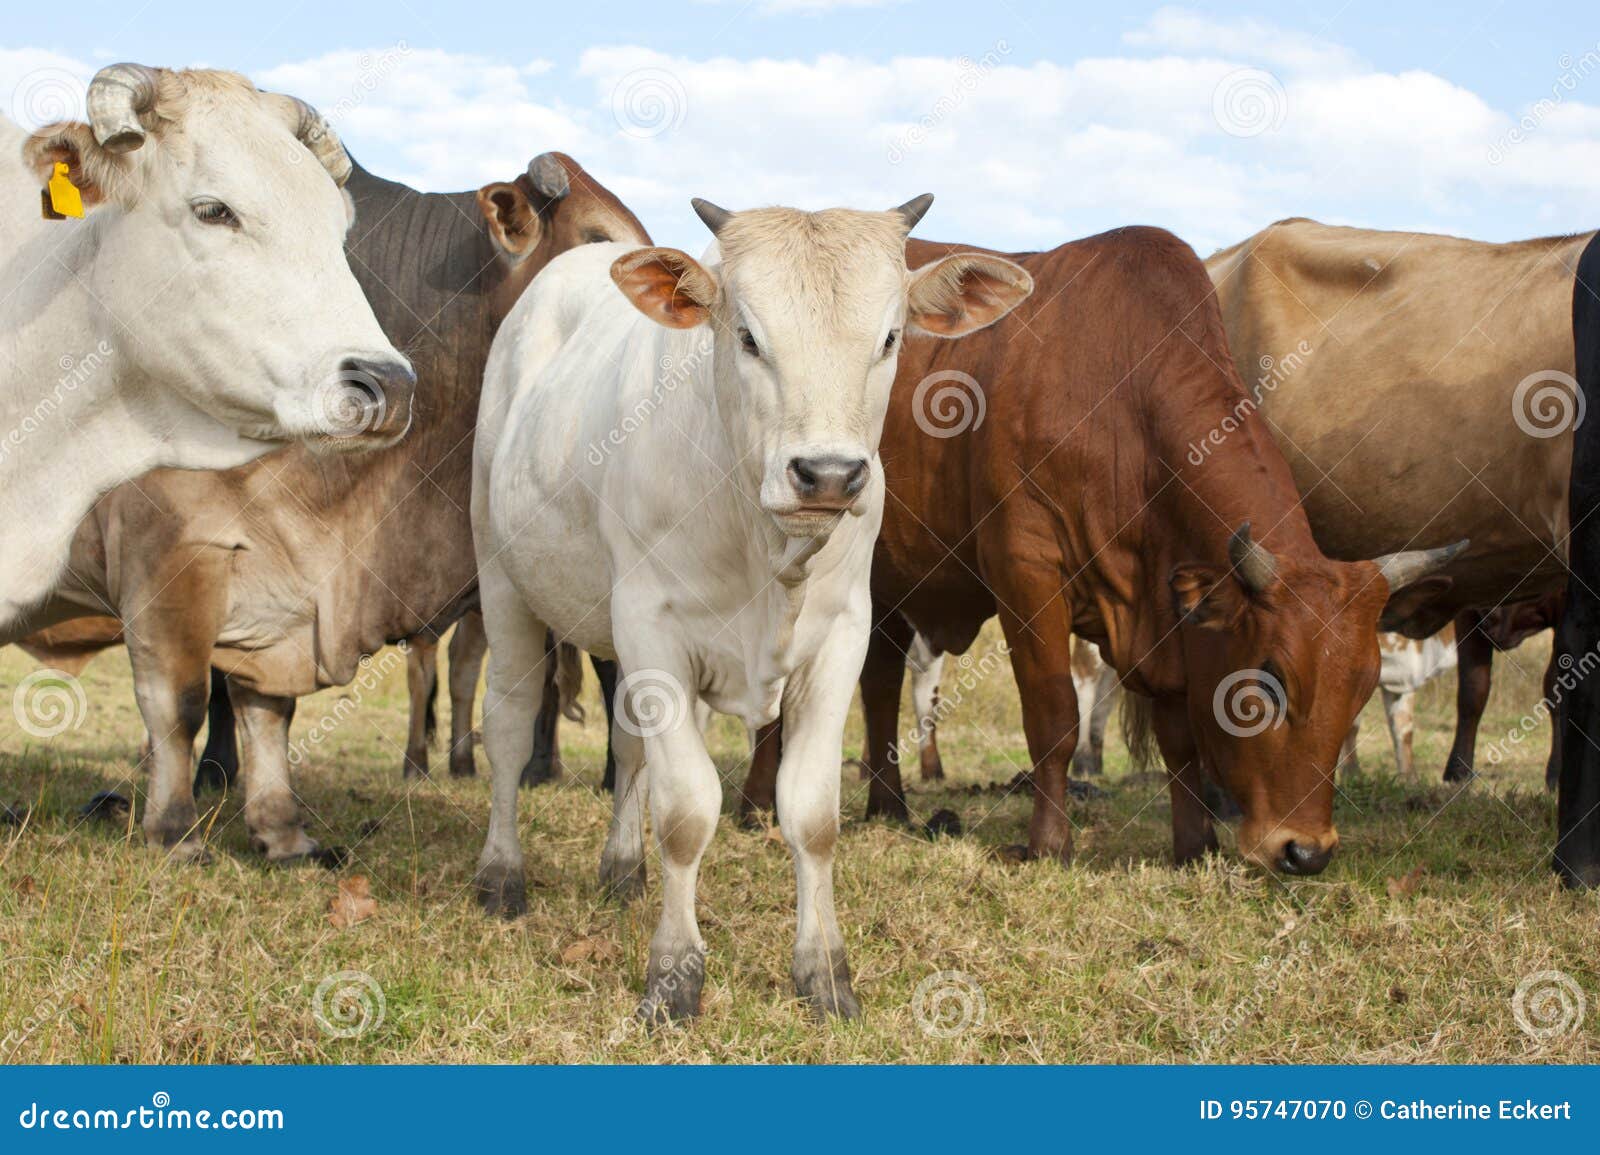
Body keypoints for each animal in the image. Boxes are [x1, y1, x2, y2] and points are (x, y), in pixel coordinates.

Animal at [2, 152, 647, 862]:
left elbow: (266, 709)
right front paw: (177, 830)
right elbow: (182, 701)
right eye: (595, 239)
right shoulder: (169, 551)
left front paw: (281, 830)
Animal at [470, 195, 1033, 1023]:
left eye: (890, 336)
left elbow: (812, 814)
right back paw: (501, 874)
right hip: (502, 580)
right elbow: (686, 813)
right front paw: (673, 975)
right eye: (747, 335)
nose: (827, 473)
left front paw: (825, 972)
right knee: (509, 728)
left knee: (629, 750)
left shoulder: (840, 638)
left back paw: (621, 867)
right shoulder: (653, 628)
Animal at [738, 226, 1464, 875]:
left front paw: (1193, 844)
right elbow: (1055, 714)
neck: (1122, 398)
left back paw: (889, 806)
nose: (1305, 851)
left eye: (1365, 686)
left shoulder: (1170, 614)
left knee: (881, 677)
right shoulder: (1027, 571)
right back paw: (757, 805)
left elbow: (1179, 737)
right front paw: (1047, 844)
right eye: (1267, 681)